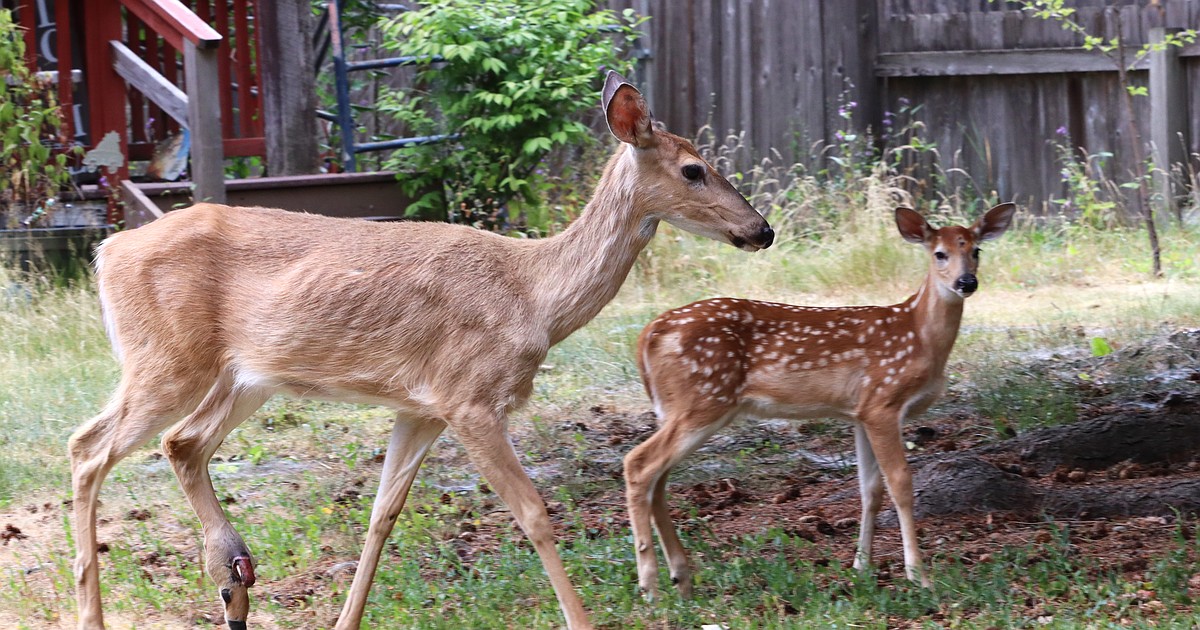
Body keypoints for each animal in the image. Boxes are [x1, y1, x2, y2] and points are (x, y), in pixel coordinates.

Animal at [67, 71, 773, 630]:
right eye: (693, 169)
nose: (762, 229)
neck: (533, 296)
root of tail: (106, 251)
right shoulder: (471, 398)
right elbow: (534, 514)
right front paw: (583, 621)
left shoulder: (421, 408)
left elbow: (383, 515)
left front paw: (345, 622)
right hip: (166, 359)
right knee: (88, 447)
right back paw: (102, 608)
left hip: (247, 376)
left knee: (181, 443)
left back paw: (231, 577)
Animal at [624, 203, 1015, 599]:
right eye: (939, 254)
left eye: (976, 250)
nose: (966, 282)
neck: (918, 335)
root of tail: (647, 335)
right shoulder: (884, 400)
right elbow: (901, 484)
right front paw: (918, 575)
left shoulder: (860, 413)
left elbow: (870, 489)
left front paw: (861, 566)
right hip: (703, 400)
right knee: (638, 464)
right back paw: (650, 586)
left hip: (676, 407)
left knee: (658, 480)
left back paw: (681, 579)